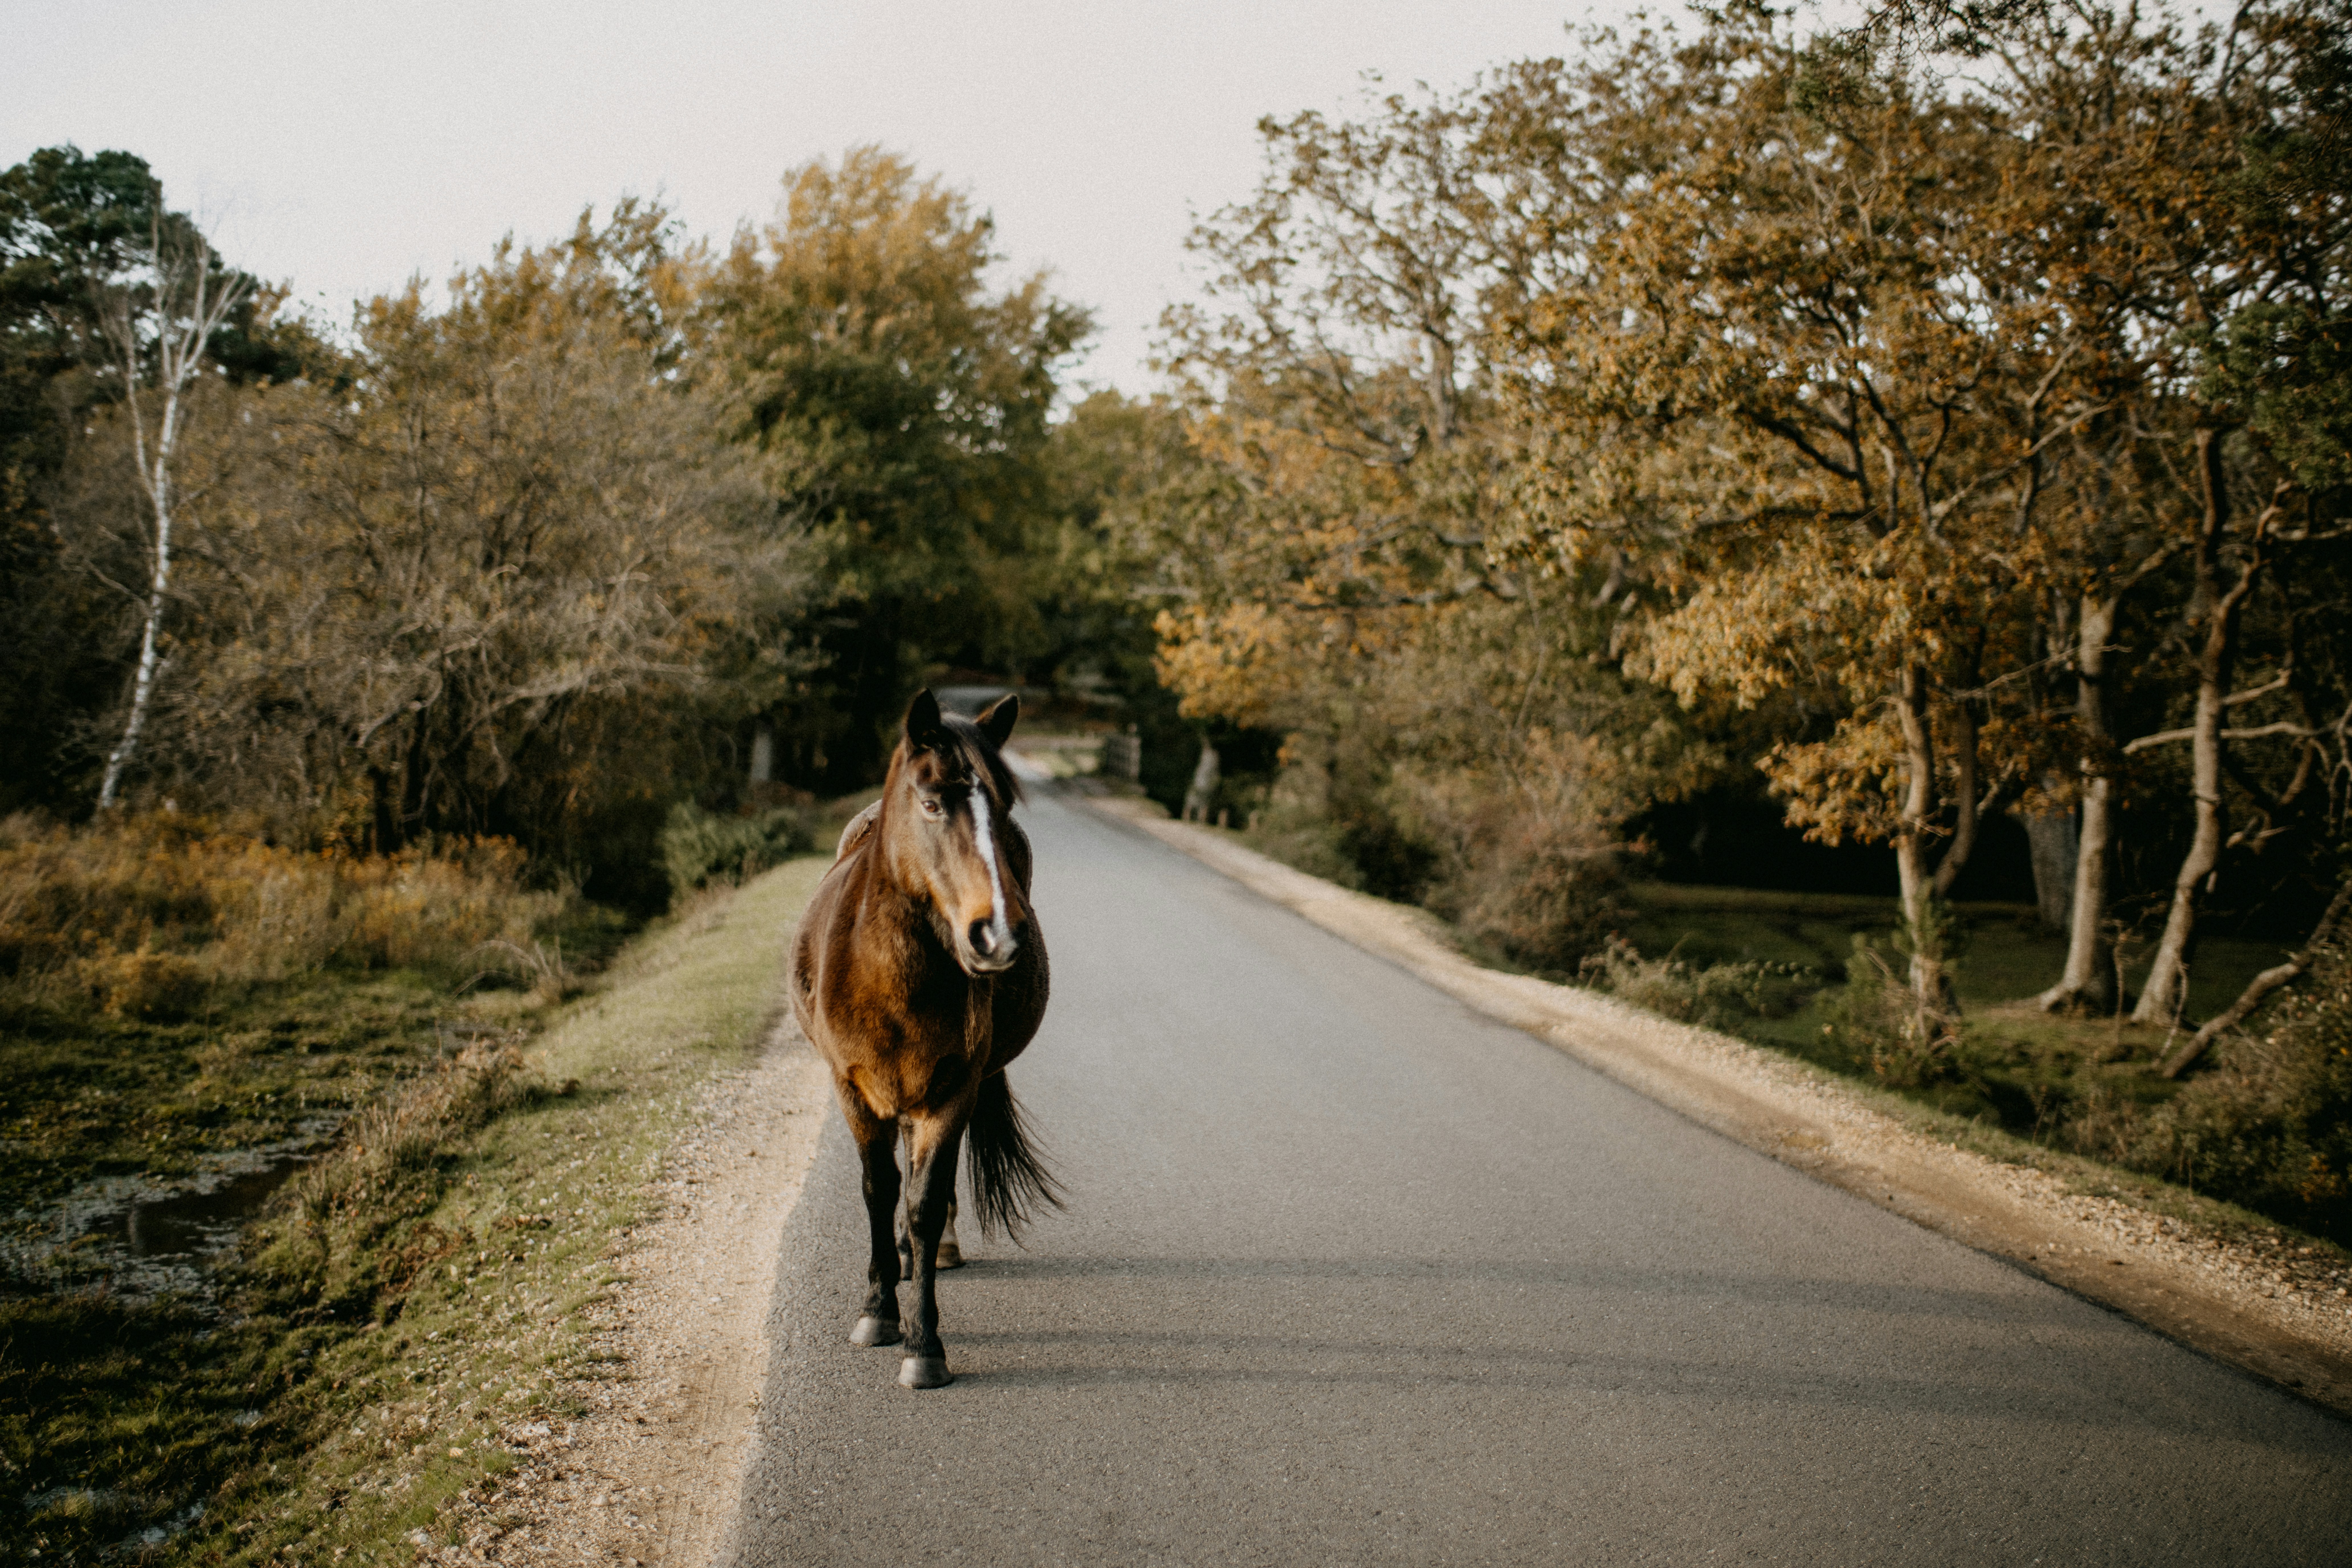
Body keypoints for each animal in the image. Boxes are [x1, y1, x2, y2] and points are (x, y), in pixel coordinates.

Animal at [789, 689, 1060, 1389]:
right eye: (933, 803)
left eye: (1004, 808)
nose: (1000, 935)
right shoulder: (852, 1089)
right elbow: (878, 1190)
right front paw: (878, 1310)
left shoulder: (952, 1090)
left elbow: (924, 1200)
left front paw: (924, 1343)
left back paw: (930, 1253)